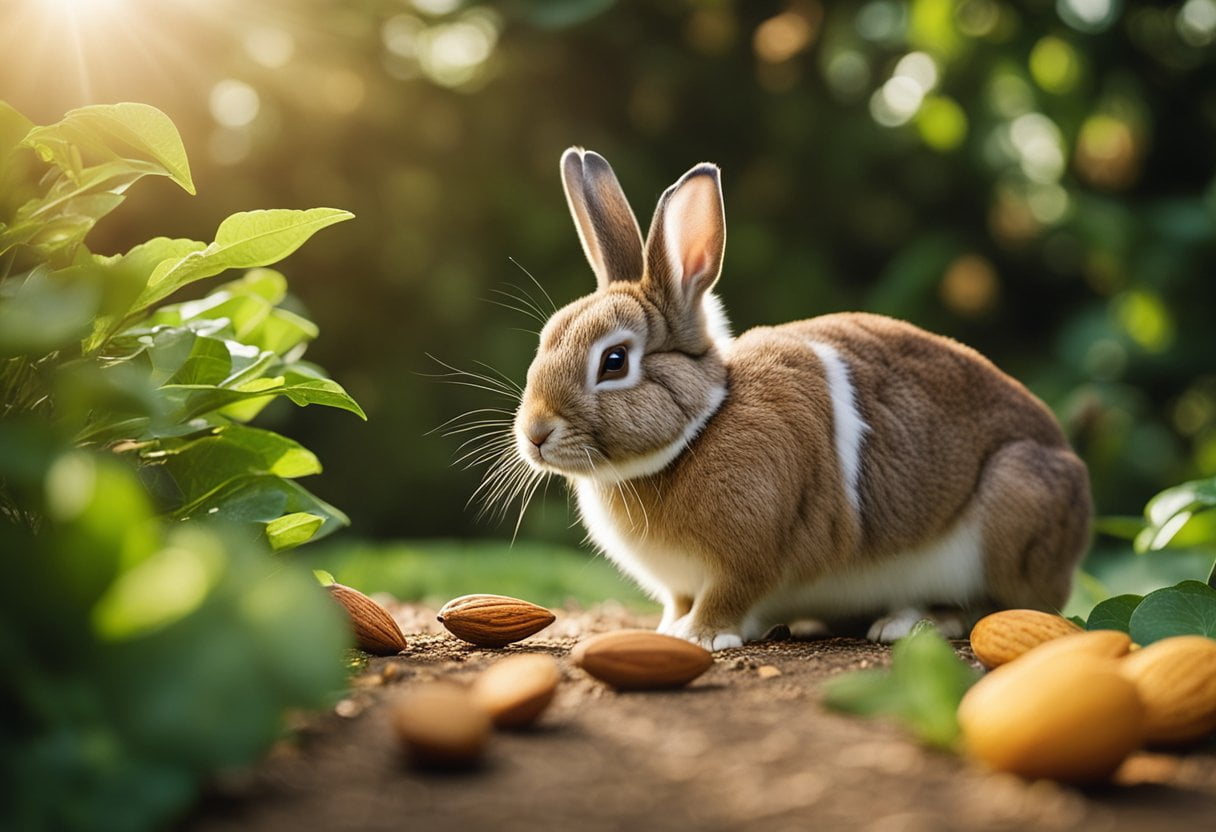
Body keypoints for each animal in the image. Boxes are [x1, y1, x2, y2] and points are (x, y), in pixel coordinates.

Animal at [511, 147, 1091, 650]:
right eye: (547, 336)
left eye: (614, 361)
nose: (535, 434)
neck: (699, 428)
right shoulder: (681, 585)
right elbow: (678, 603)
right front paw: (669, 631)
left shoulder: (749, 556)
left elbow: (729, 597)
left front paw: (702, 637)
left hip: (1007, 519)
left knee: (996, 606)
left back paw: (909, 623)